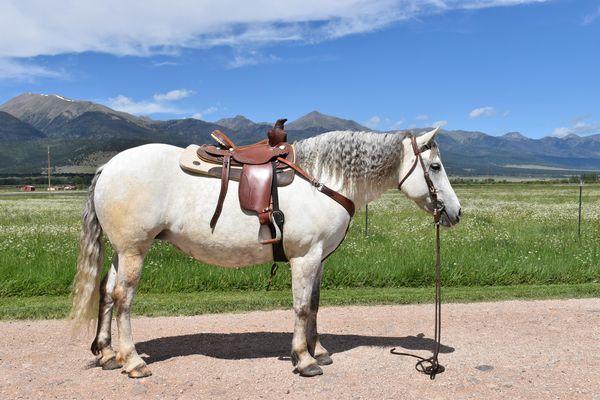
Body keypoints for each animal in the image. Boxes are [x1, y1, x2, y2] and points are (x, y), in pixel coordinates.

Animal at [70, 127, 461, 378]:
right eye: (436, 166)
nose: (455, 212)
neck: (322, 181)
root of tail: (107, 167)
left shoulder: (318, 259)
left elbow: (314, 305)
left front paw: (319, 350)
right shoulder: (305, 258)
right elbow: (301, 308)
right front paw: (304, 360)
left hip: (123, 250)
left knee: (107, 292)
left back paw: (108, 354)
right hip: (134, 250)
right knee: (123, 298)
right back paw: (133, 361)